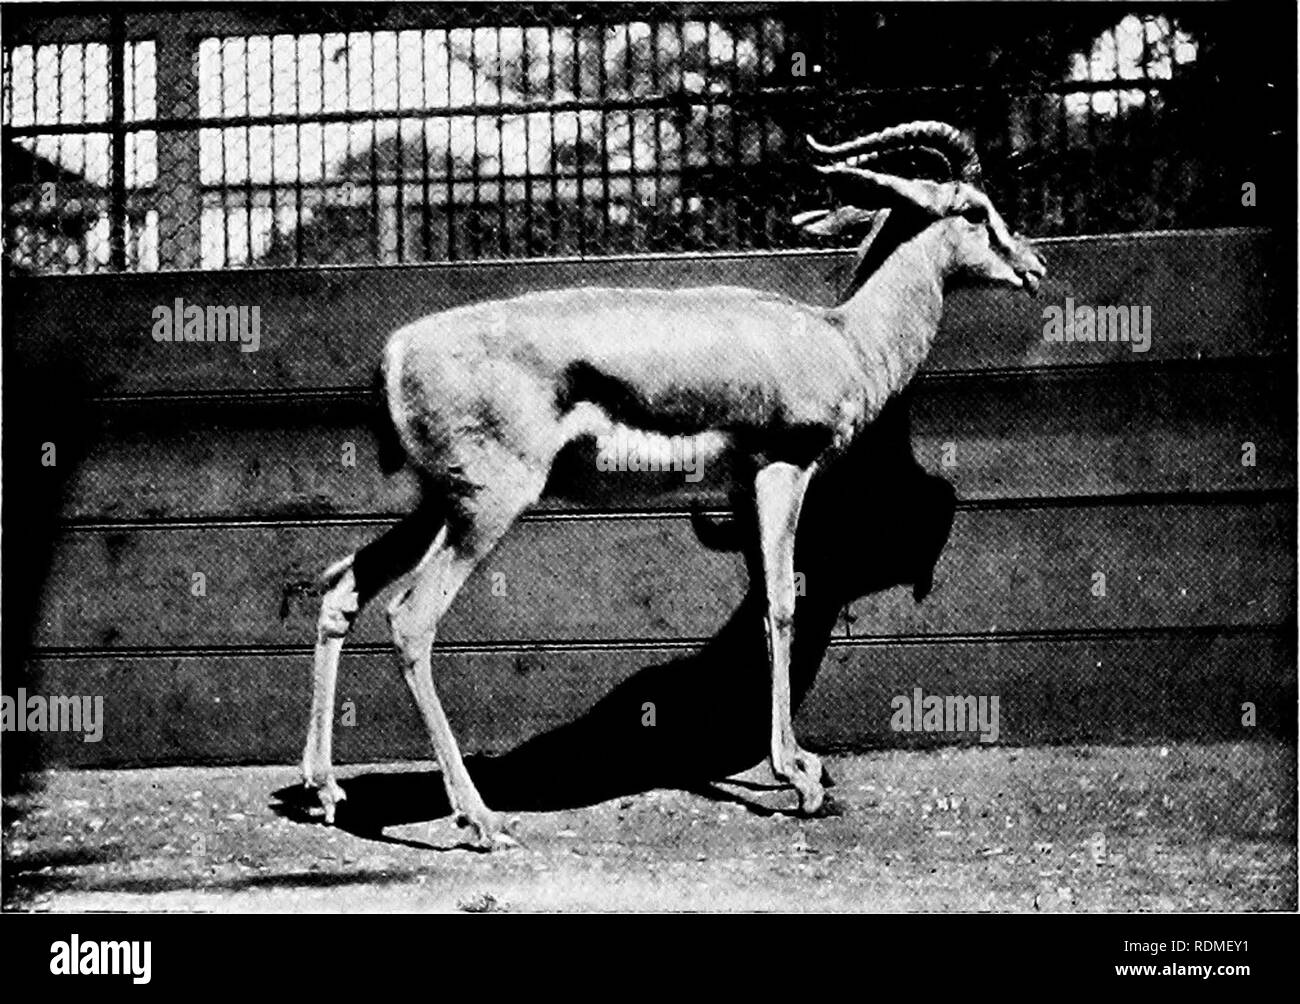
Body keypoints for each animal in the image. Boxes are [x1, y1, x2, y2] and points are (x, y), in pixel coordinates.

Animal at [300, 120, 1046, 849]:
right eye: (975, 210)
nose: (1035, 266)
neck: (841, 339)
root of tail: (395, 351)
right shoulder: (783, 468)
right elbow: (784, 604)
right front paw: (797, 779)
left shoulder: (742, 485)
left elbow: (763, 606)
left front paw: (798, 764)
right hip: (488, 507)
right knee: (409, 619)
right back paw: (481, 819)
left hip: (441, 505)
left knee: (342, 586)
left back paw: (325, 790)